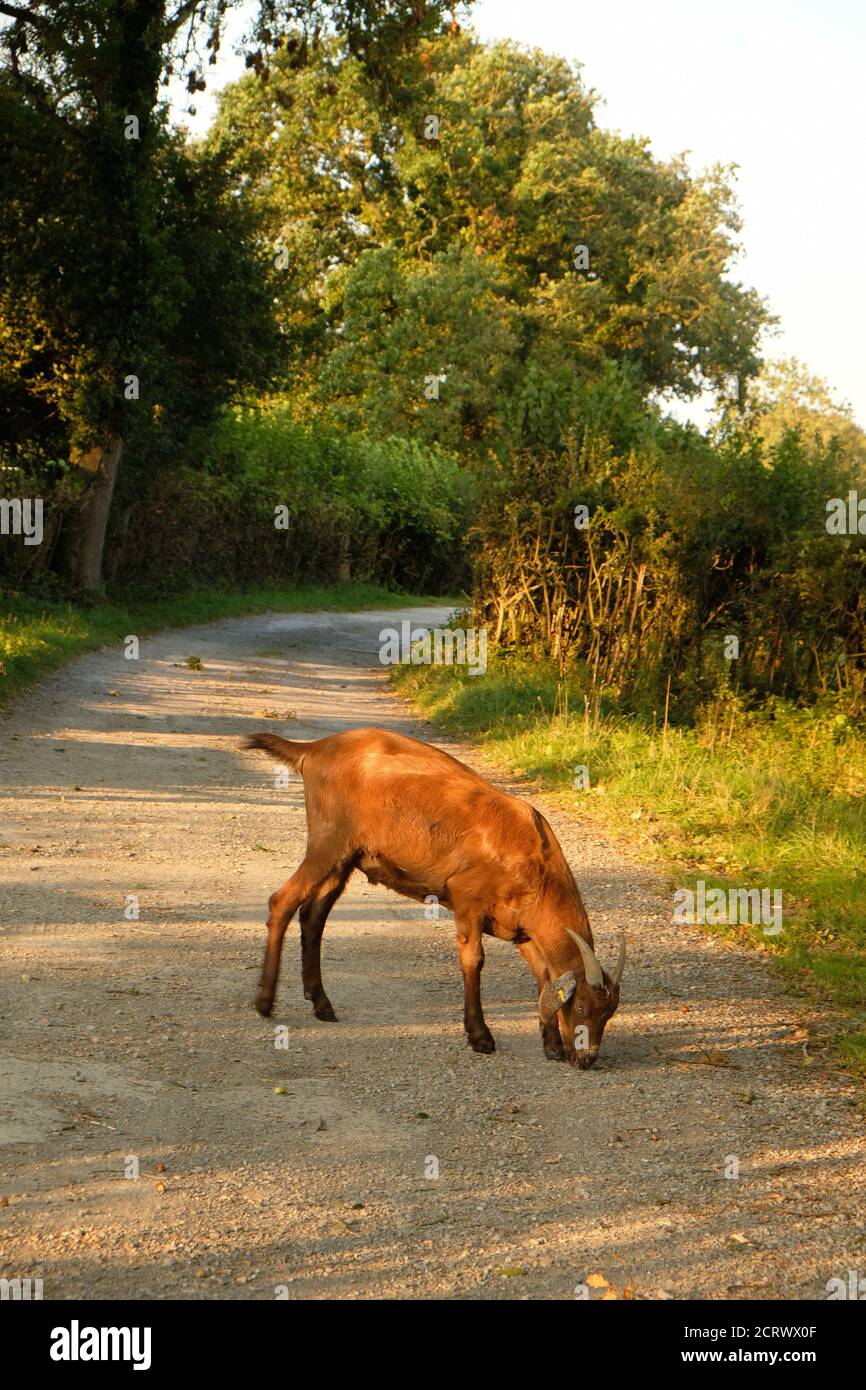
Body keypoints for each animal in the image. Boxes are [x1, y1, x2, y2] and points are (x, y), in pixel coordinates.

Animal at [244, 727, 624, 1068]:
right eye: (581, 1006)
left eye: (608, 1013)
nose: (587, 1059)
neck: (534, 860)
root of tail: (316, 749)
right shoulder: (467, 901)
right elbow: (474, 960)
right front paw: (480, 1036)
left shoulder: (523, 930)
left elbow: (545, 976)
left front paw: (553, 1046)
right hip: (329, 840)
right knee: (283, 900)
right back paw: (264, 1001)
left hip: (346, 857)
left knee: (313, 915)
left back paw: (321, 1004)